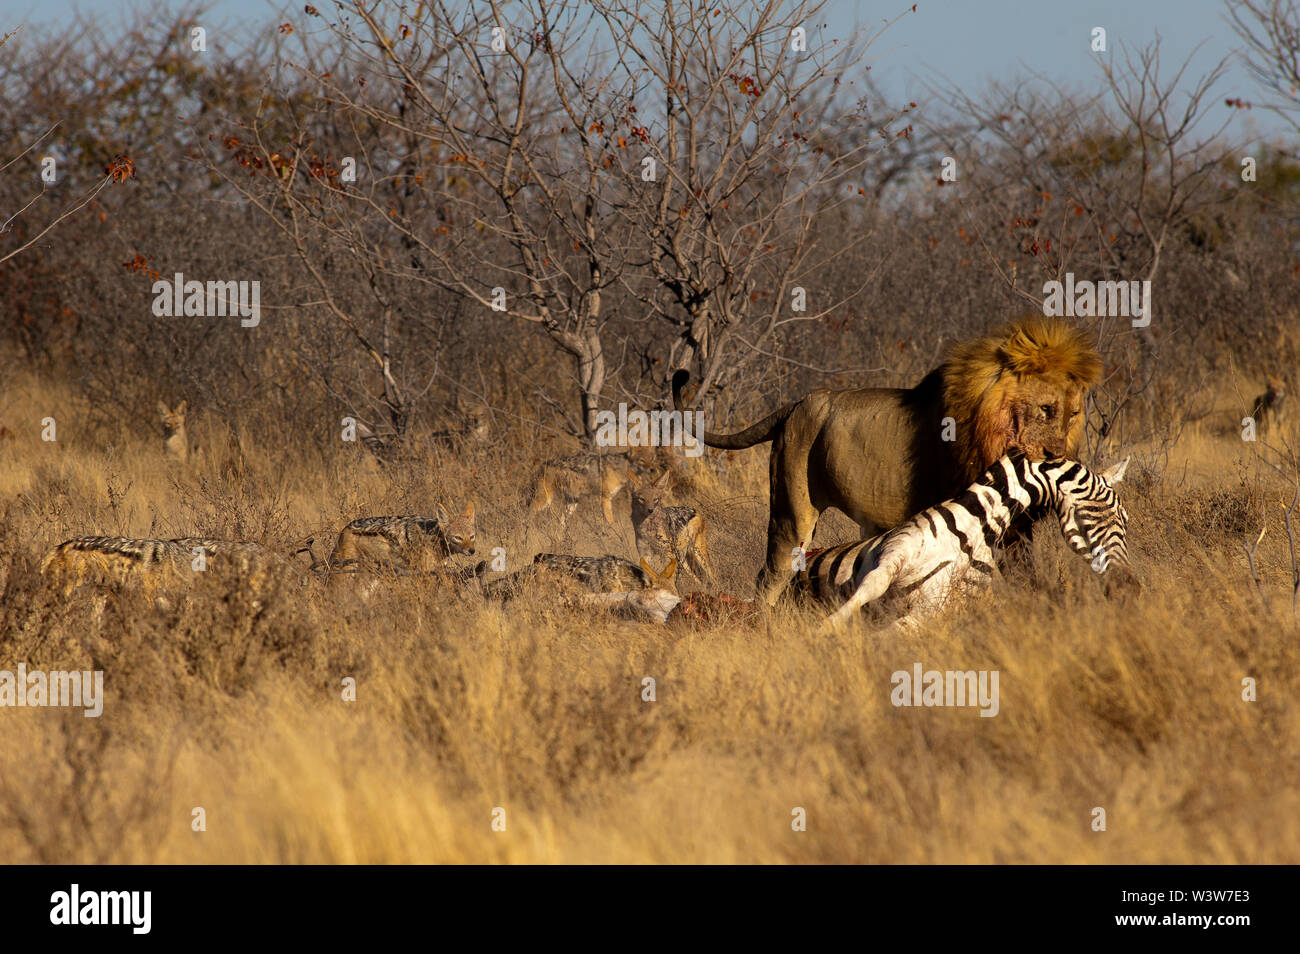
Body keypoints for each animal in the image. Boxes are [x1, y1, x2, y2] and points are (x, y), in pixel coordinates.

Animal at [672, 317, 1102, 602]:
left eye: (1073, 415)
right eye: (1046, 409)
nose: (1057, 456)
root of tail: (796, 405)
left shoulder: (1016, 529)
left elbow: (1022, 573)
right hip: (791, 511)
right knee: (771, 575)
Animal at [792, 453, 1131, 631]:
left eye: (1126, 520)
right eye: (1107, 513)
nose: (1131, 587)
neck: (971, 533)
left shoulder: (934, 610)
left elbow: (894, 634)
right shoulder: (895, 552)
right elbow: (868, 589)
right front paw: (821, 634)